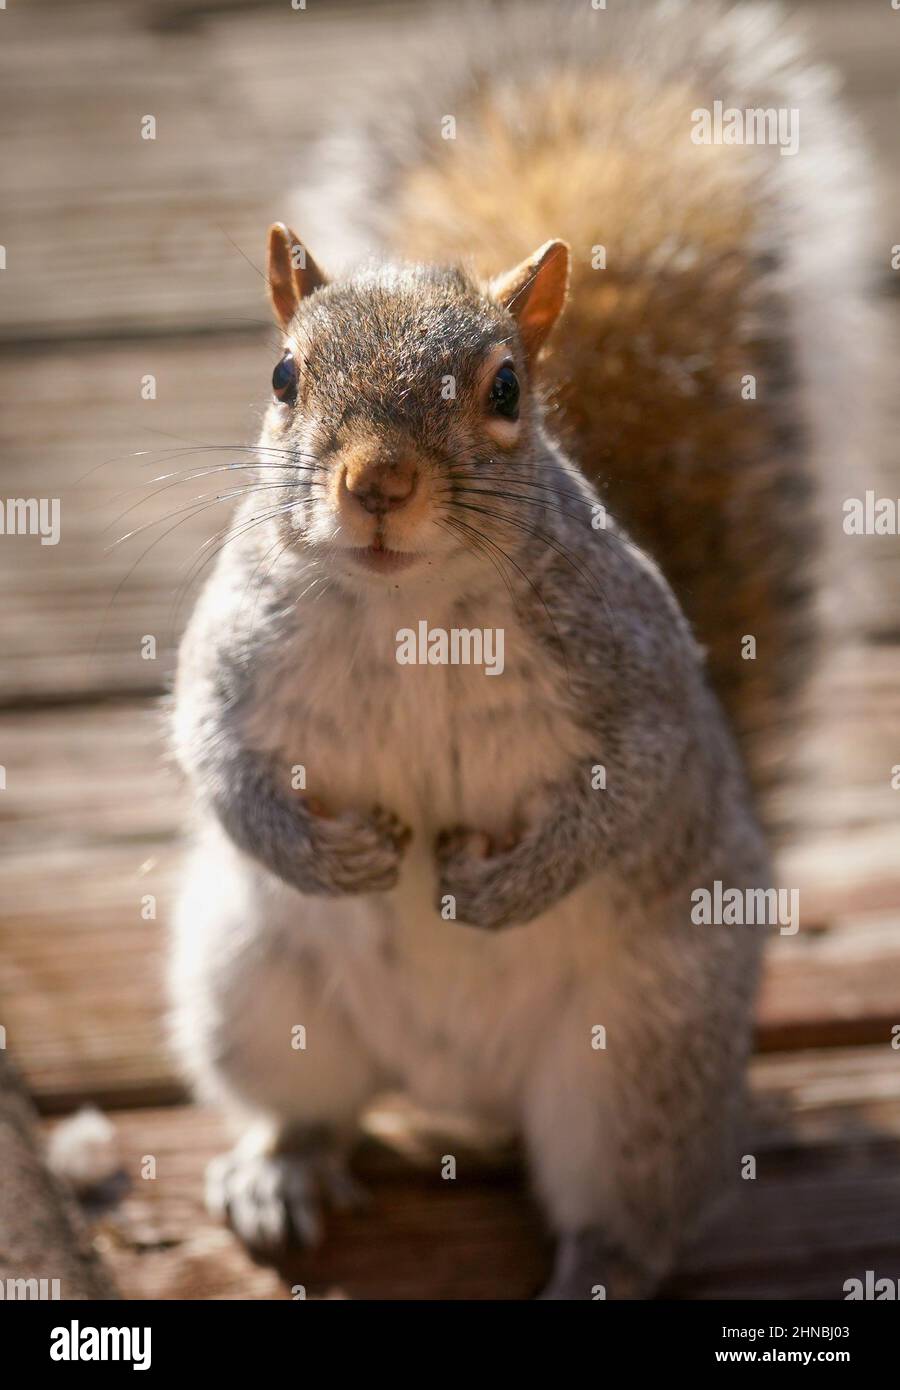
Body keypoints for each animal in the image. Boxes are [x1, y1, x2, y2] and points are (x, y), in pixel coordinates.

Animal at [169, 1, 872, 1298]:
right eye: (285, 375)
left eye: (504, 389)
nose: (379, 483)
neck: (406, 606)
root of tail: (461, 1092)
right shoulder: (234, 649)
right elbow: (216, 752)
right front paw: (323, 854)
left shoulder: (632, 663)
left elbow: (640, 774)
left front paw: (503, 886)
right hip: (251, 986)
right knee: (308, 1101)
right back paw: (281, 1168)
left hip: (640, 1064)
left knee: (625, 1203)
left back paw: (598, 1263)